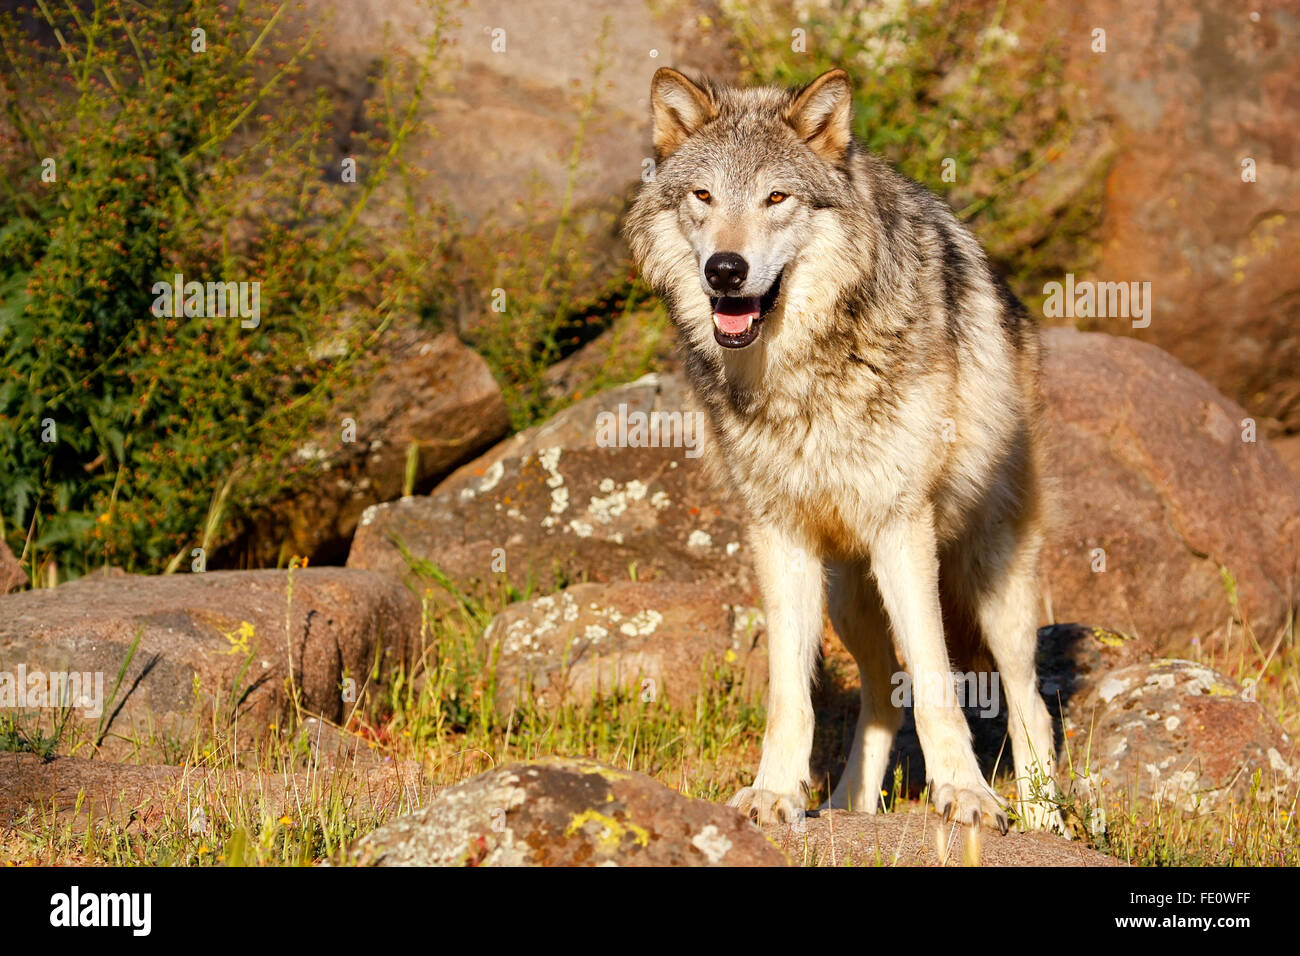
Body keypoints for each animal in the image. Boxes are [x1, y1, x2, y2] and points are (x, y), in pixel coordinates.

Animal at [624, 68, 1062, 832]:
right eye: (703, 196)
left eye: (777, 198)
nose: (726, 269)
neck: (800, 373)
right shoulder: (779, 536)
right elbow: (790, 695)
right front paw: (773, 794)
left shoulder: (902, 527)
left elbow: (937, 680)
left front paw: (966, 796)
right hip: (849, 596)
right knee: (883, 700)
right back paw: (851, 808)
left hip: (991, 577)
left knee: (1025, 698)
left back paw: (1047, 821)